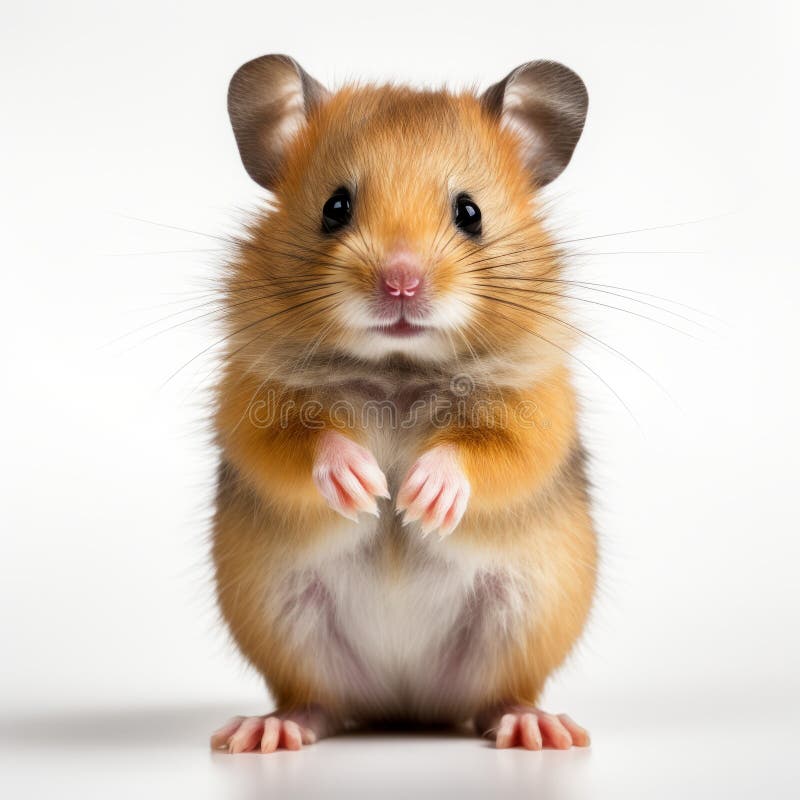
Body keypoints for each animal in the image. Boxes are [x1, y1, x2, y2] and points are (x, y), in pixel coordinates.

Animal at [210, 54, 596, 753]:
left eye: (469, 212)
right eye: (335, 207)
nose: (401, 282)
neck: (397, 372)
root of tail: (405, 709)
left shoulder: (539, 410)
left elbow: (493, 452)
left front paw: (418, 499)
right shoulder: (247, 404)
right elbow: (299, 442)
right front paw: (367, 487)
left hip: (523, 621)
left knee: (500, 698)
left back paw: (537, 728)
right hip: (286, 625)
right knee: (316, 704)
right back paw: (268, 732)